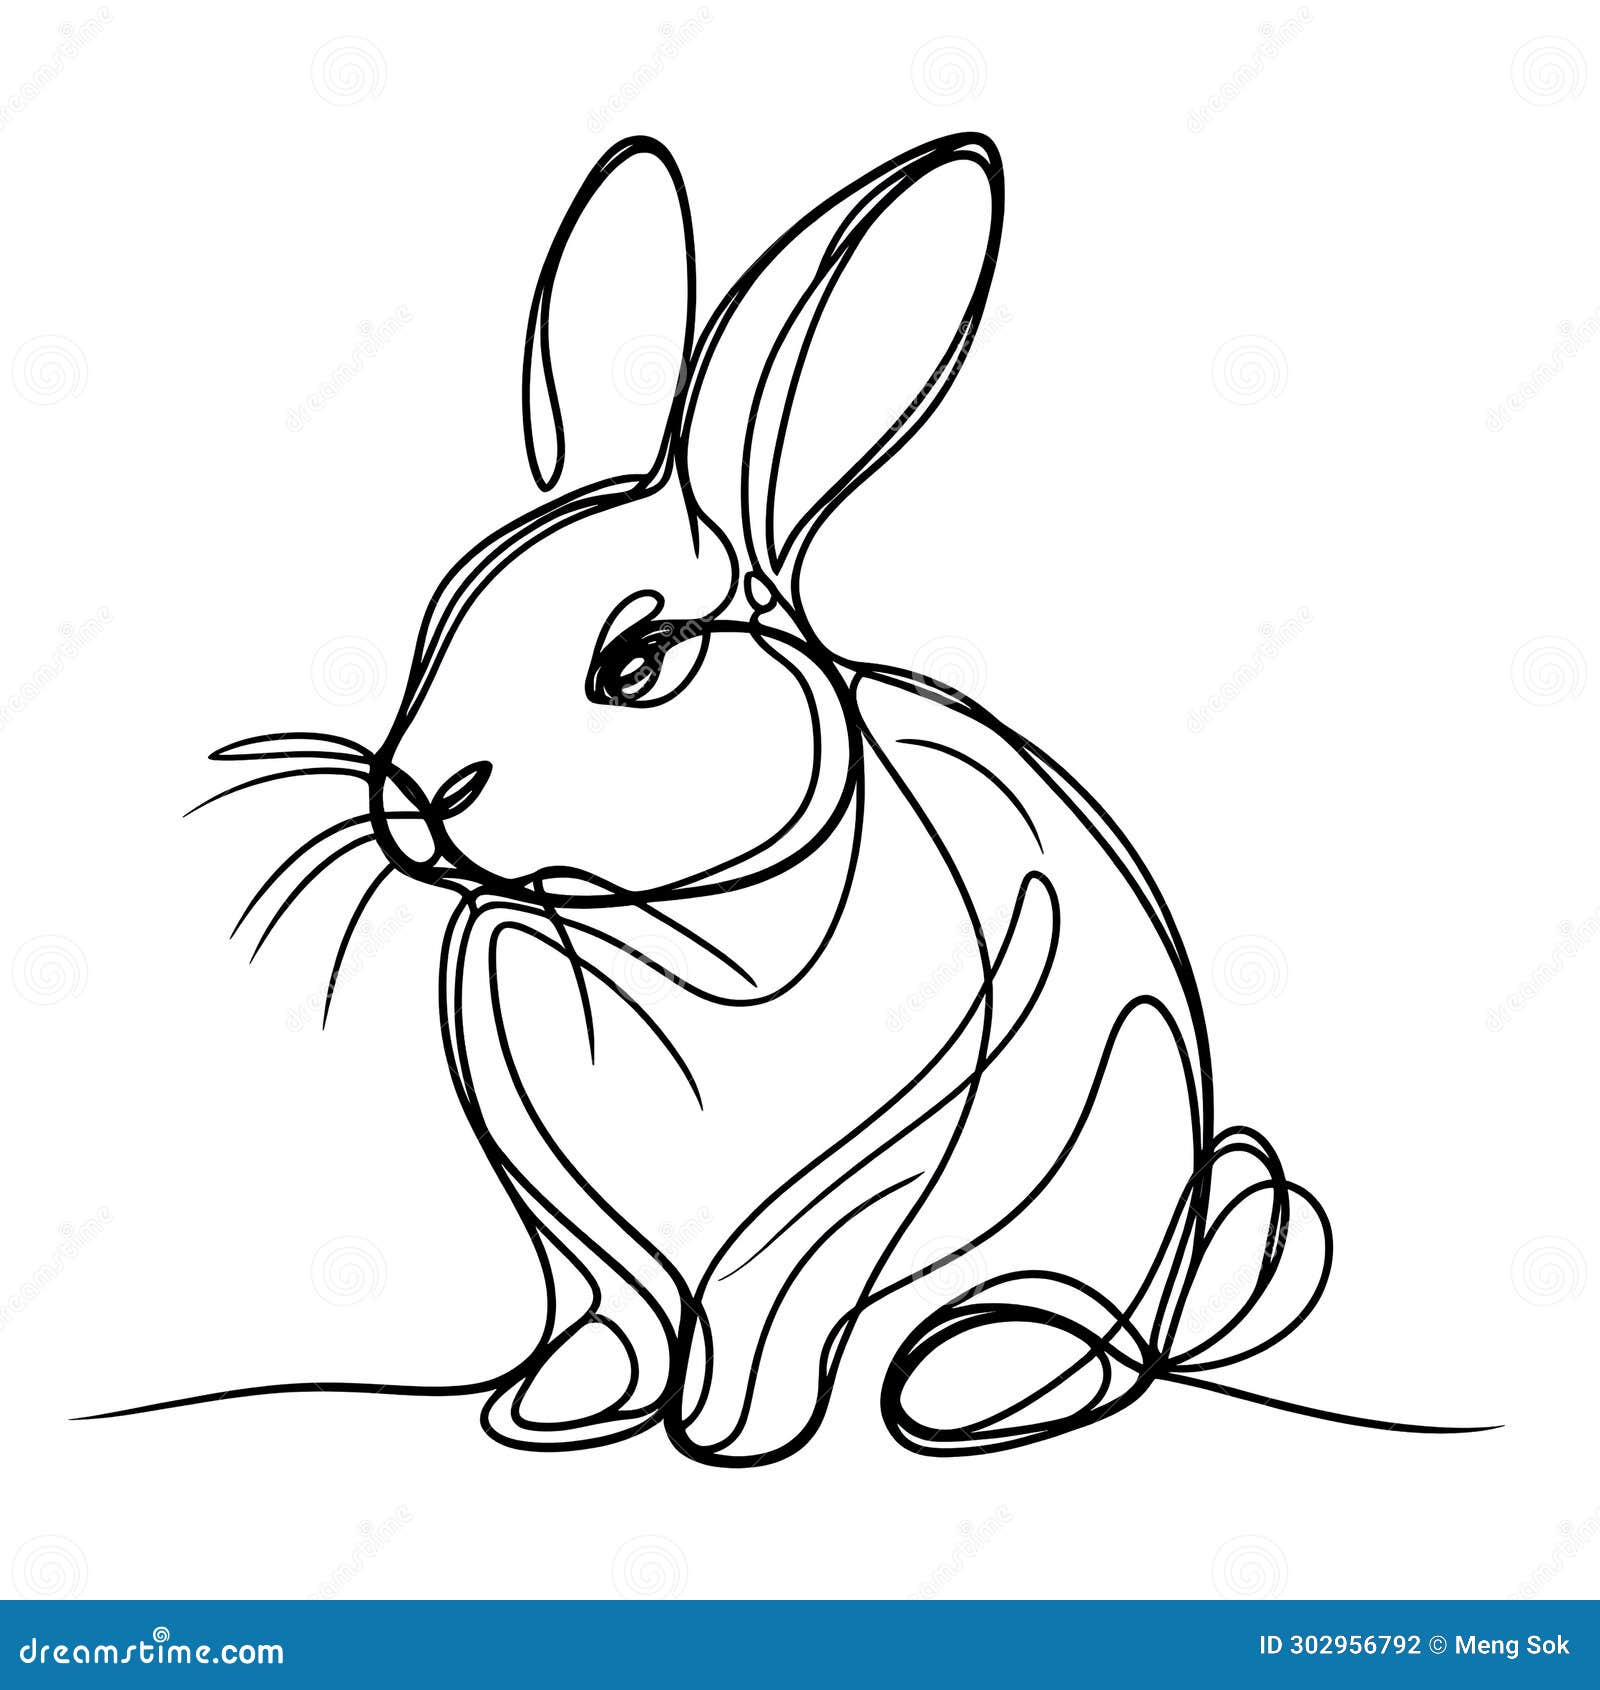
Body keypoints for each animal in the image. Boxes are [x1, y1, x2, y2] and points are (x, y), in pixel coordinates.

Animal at [101, 133, 1486, 1462]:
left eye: (637, 660)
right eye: (444, 613)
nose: (425, 795)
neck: (634, 927)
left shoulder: (854, 1184)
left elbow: (764, 1306)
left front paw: (730, 1439)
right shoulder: (566, 1215)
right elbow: (609, 1304)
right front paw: (554, 1412)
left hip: (1114, 1181)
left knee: (1091, 1331)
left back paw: (980, 1386)